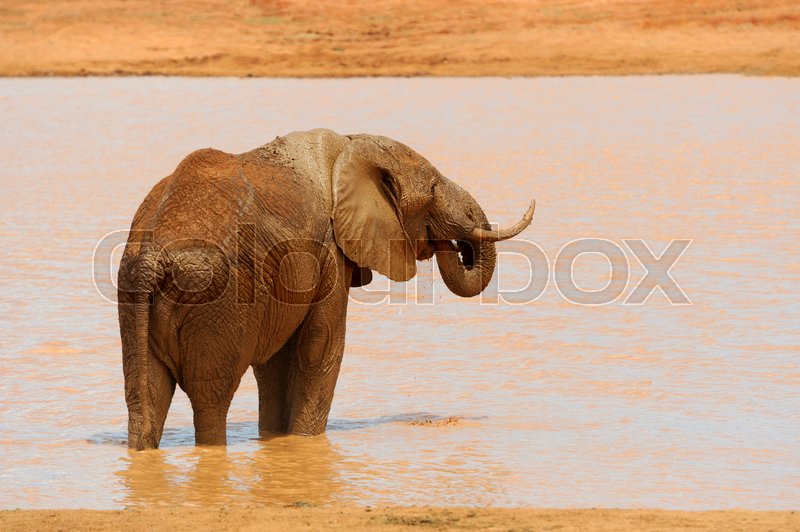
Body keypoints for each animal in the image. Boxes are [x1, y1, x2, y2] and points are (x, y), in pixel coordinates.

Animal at [118, 128, 535, 450]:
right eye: (432, 189)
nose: (455, 244)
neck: (352, 146)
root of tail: (151, 260)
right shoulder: (328, 249)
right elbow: (322, 345)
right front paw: (305, 443)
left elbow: (276, 360)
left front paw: (280, 444)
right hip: (217, 298)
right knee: (210, 398)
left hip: (134, 296)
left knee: (145, 397)